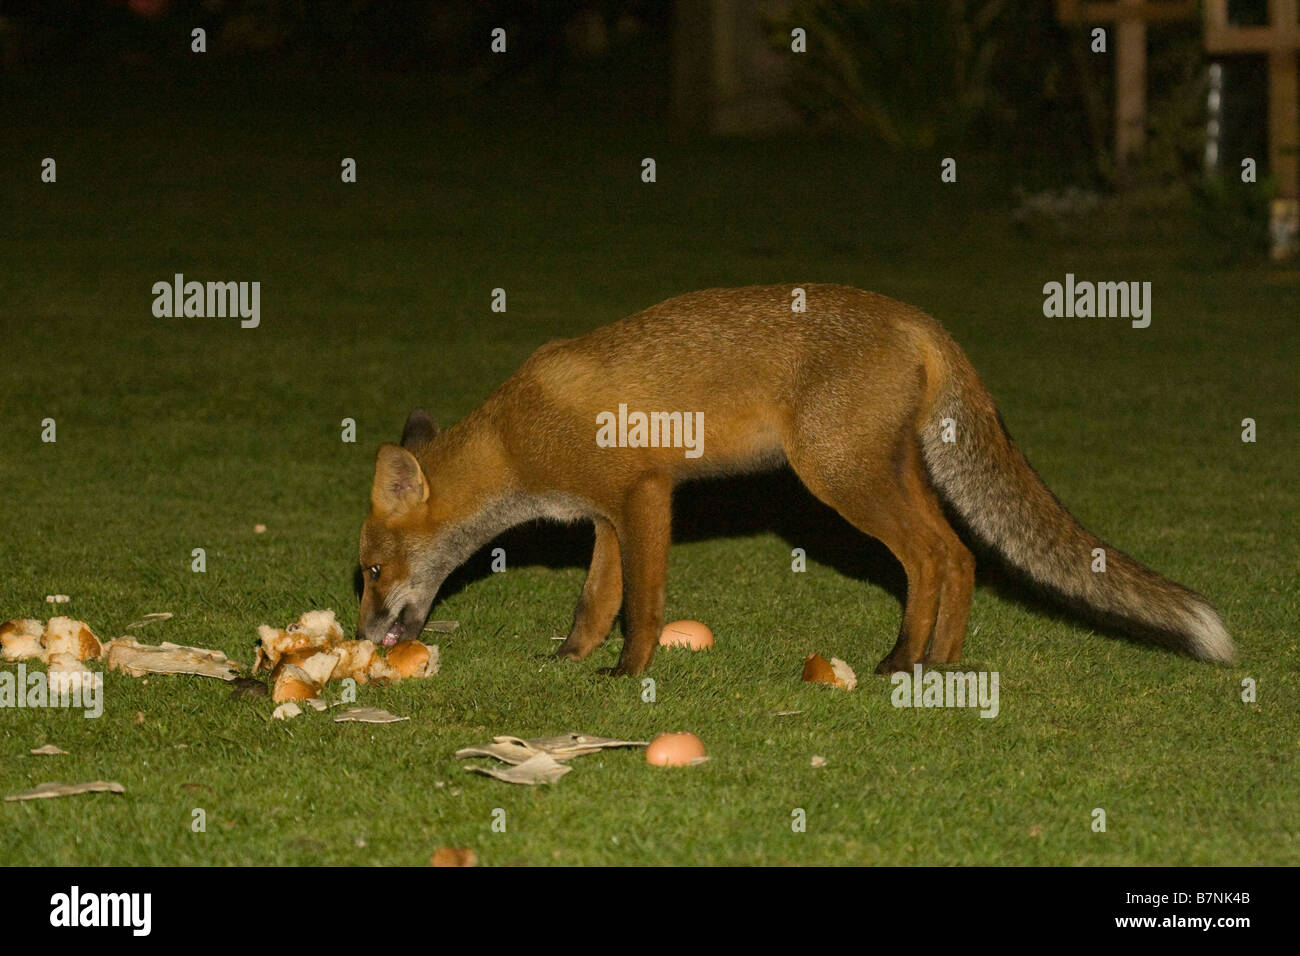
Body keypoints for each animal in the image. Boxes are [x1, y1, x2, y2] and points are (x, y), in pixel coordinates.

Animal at [356, 284, 1234, 676]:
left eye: (368, 572)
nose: (364, 633)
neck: (517, 435)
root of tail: (917, 317)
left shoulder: (646, 497)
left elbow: (642, 606)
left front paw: (630, 674)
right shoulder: (606, 516)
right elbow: (595, 602)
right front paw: (572, 660)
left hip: (837, 479)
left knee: (930, 559)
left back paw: (902, 659)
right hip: (885, 473)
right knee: (960, 557)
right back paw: (940, 662)